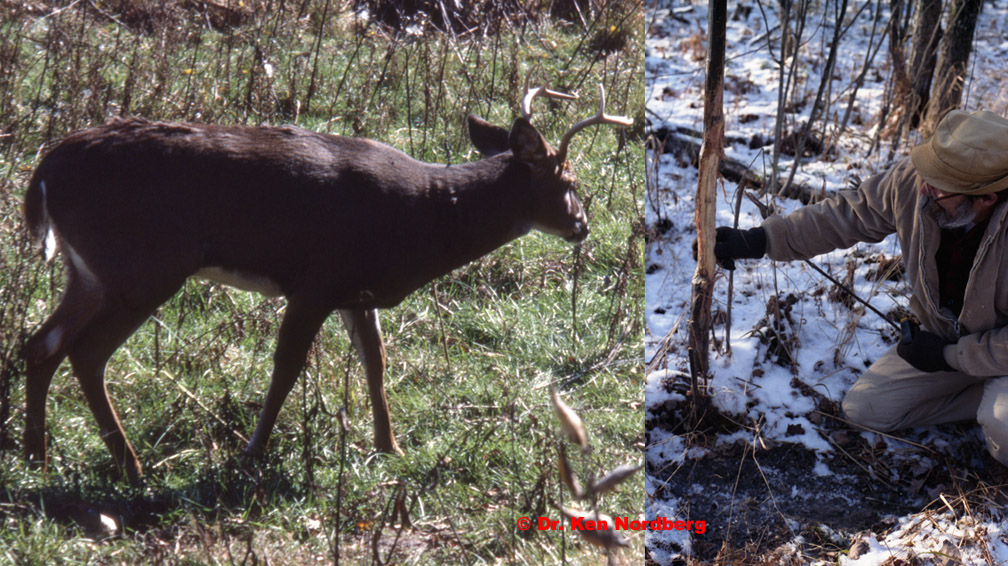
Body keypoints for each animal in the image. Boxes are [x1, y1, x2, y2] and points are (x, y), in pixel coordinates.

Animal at [22, 81, 632, 483]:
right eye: (570, 180)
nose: (582, 225)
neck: (426, 217)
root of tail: (46, 169)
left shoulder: (355, 290)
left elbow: (375, 361)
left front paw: (389, 447)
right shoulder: (316, 280)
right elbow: (287, 367)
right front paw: (252, 453)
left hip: (91, 271)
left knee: (41, 342)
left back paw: (36, 457)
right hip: (144, 265)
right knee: (85, 352)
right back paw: (130, 466)